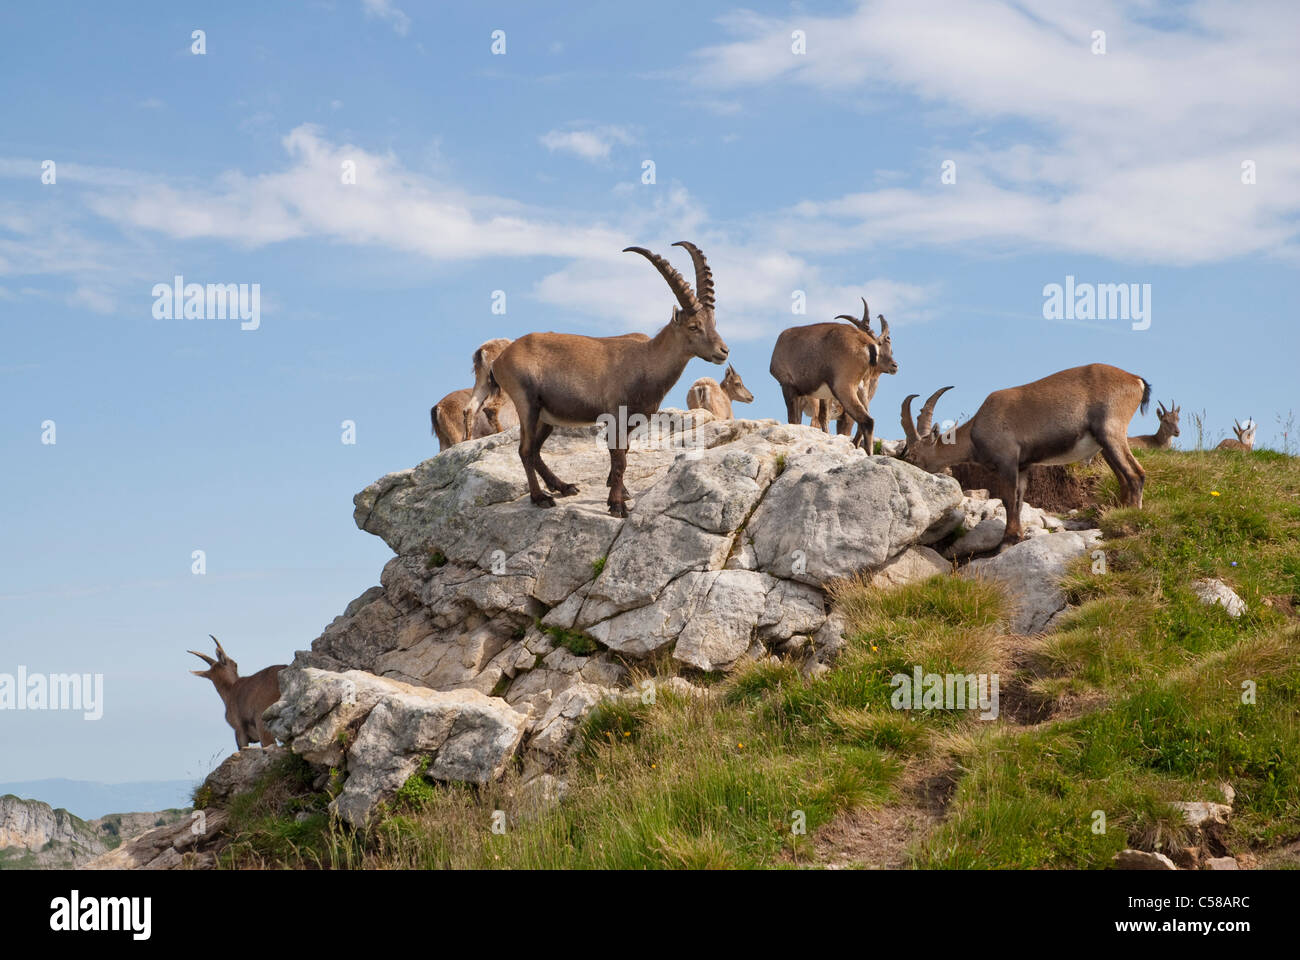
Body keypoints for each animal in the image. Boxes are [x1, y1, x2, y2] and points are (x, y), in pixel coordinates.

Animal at [489, 241, 728, 517]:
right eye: (693, 326)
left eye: (713, 323)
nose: (723, 351)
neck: (647, 360)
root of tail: (501, 358)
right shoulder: (615, 416)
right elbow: (620, 459)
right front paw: (617, 505)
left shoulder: (632, 420)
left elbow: (623, 455)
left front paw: (620, 493)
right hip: (526, 403)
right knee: (525, 450)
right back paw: (540, 498)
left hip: (546, 415)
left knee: (536, 451)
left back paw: (564, 487)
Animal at [770, 297, 898, 451]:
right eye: (886, 350)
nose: (895, 366)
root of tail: (866, 344)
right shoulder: (817, 395)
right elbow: (814, 420)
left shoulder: (788, 386)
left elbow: (793, 420)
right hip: (861, 389)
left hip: (843, 387)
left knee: (867, 421)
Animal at [900, 363, 1151, 542]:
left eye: (913, 456)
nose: (911, 468)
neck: (976, 430)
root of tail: (1135, 380)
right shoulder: (1023, 467)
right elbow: (1019, 502)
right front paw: (1017, 536)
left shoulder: (1007, 461)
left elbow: (1009, 500)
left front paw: (1007, 540)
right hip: (1105, 445)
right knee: (1124, 478)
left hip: (1110, 432)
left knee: (1135, 474)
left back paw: (1131, 518)